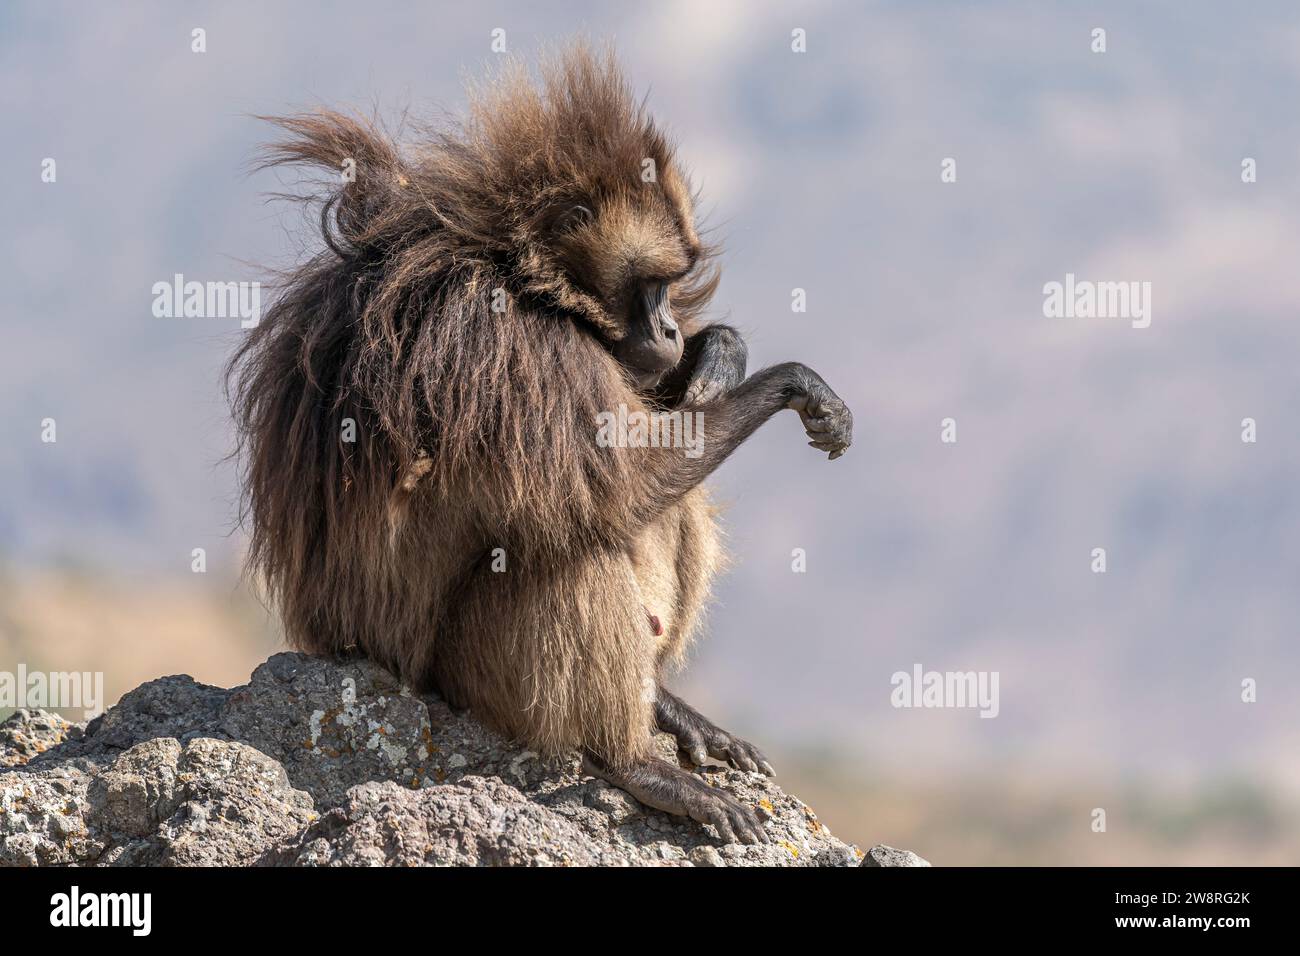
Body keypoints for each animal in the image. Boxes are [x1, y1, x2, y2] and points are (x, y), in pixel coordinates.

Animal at [228, 44, 852, 846]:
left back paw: (661, 705)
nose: (671, 328)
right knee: (571, 542)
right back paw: (634, 763)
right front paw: (795, 382)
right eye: (652, 282)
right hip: (463, 678)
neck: (518, 266)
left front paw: (721, 352)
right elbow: (625, 486)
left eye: (672, 287)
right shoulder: (509, 339)